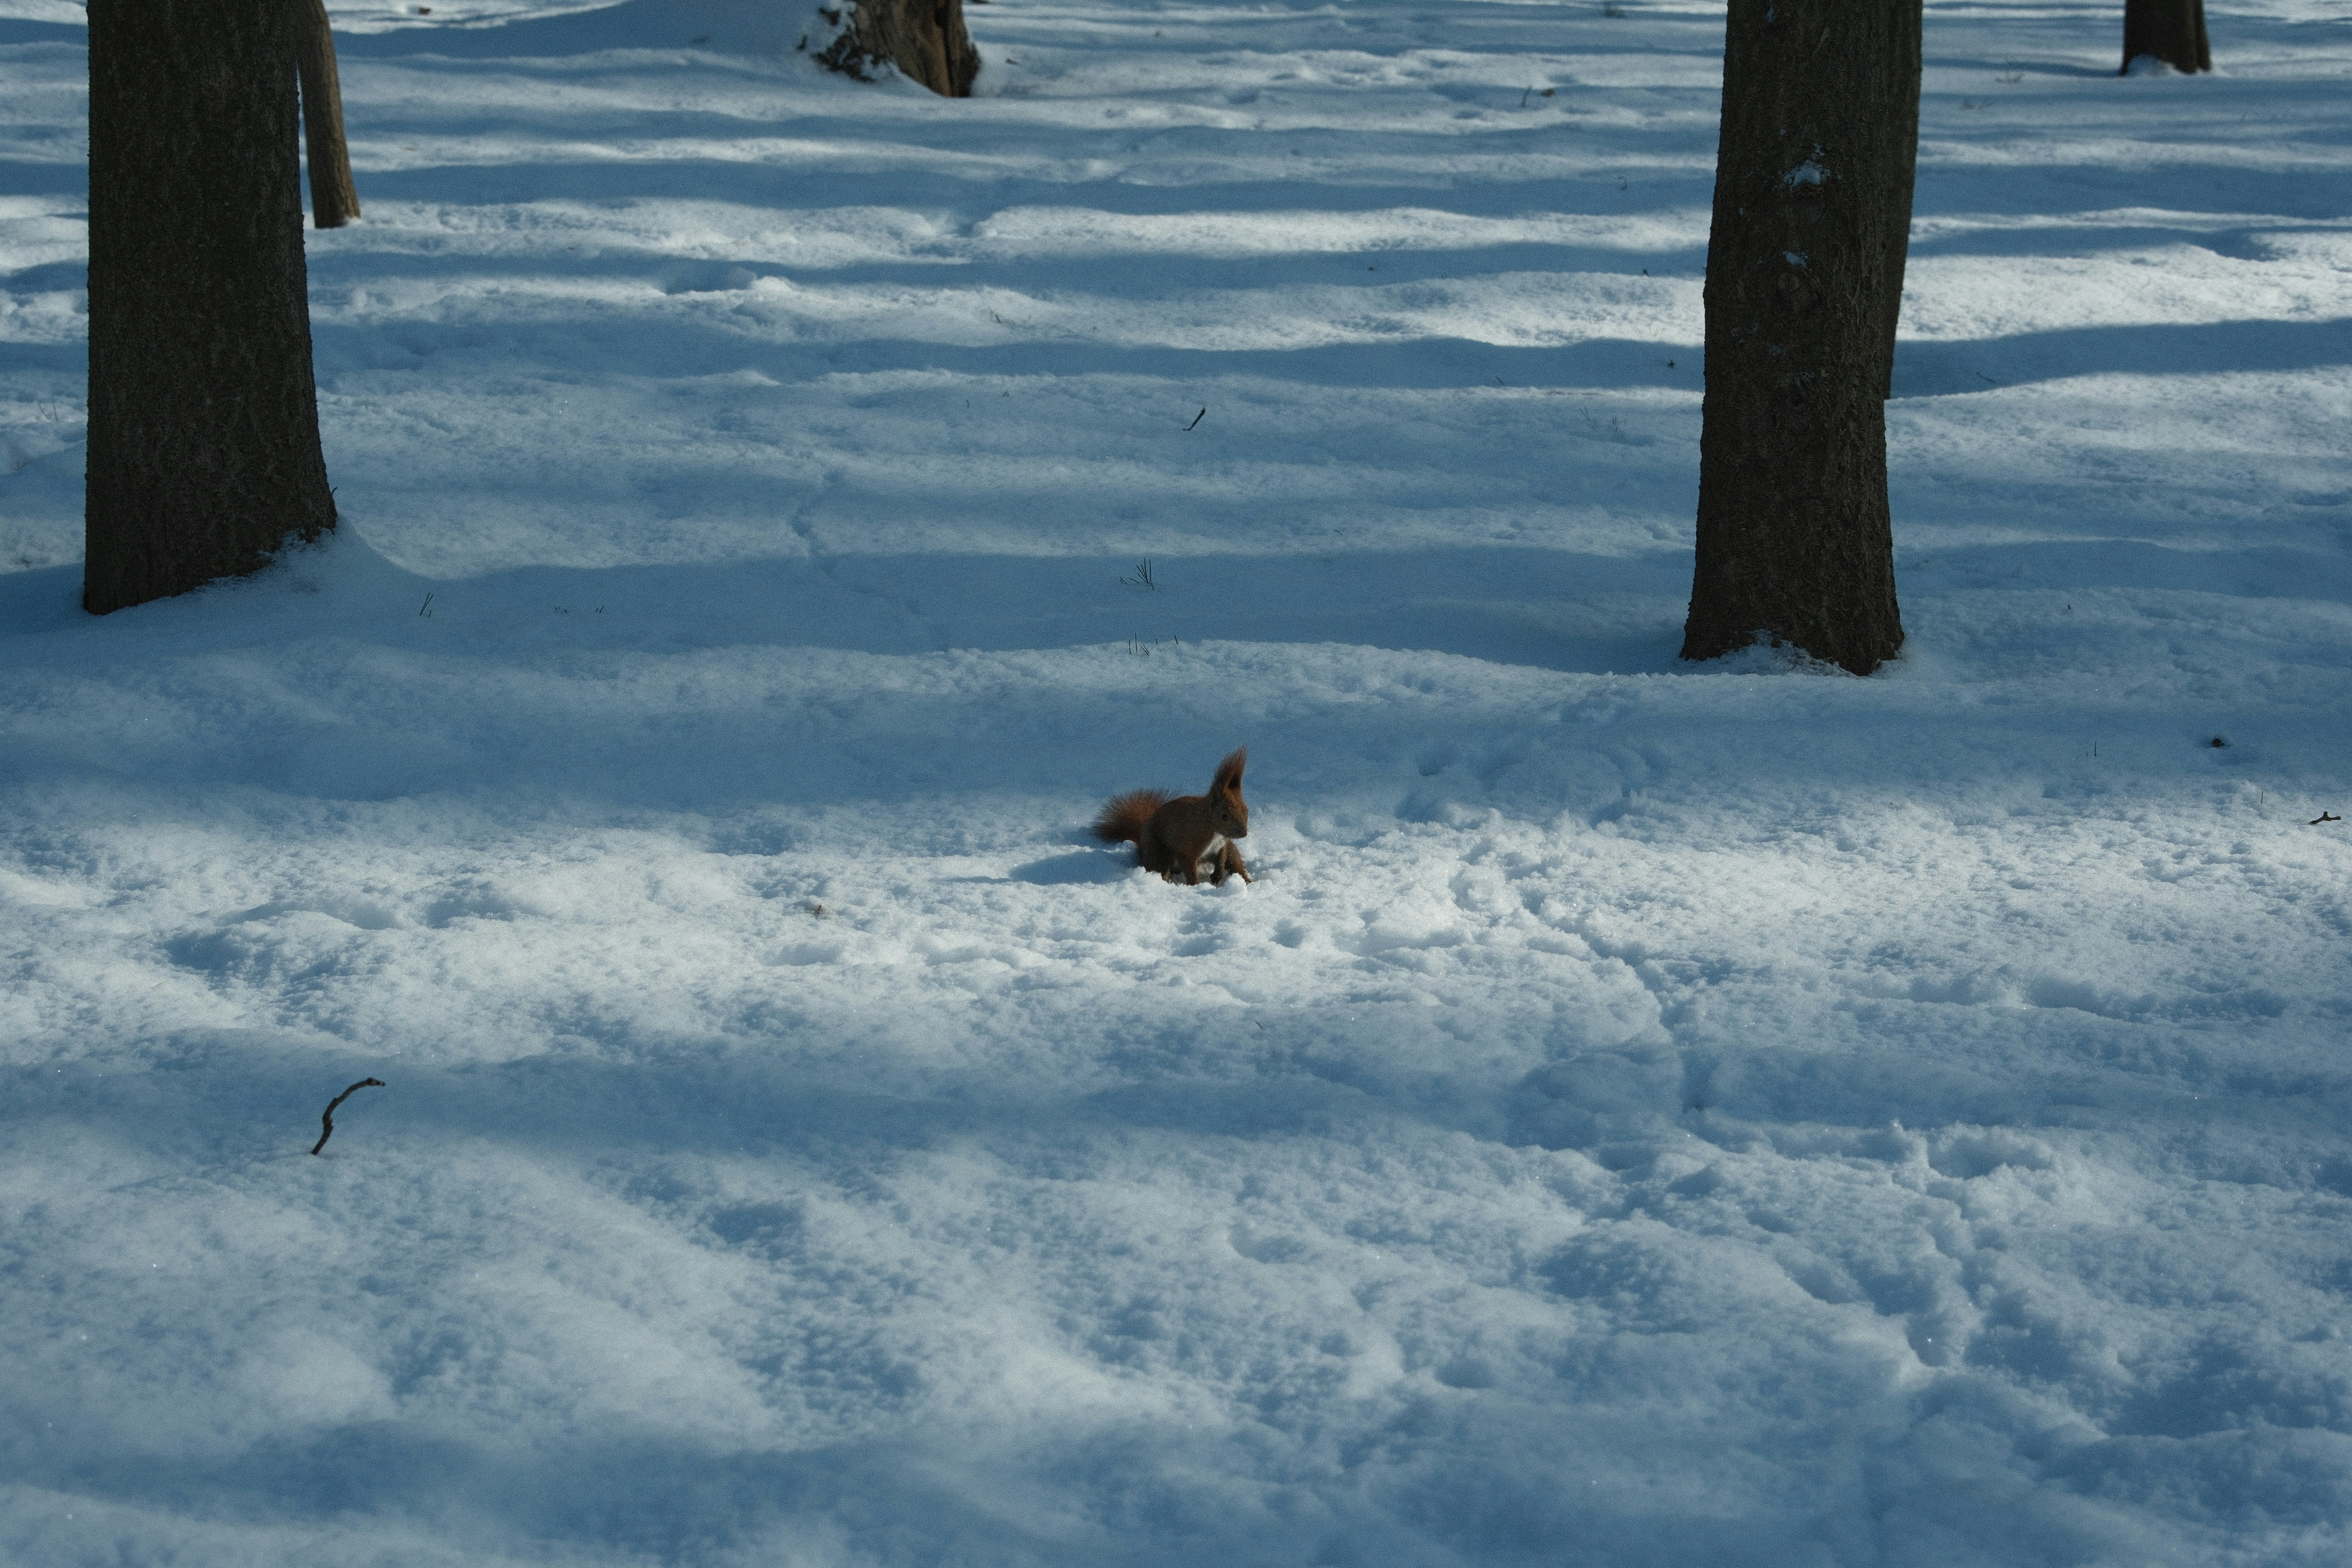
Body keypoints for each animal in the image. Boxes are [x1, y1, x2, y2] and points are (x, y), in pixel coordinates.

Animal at [1091, 747, 1252, 885]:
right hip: (1160, 854)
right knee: (1162, 870)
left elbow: (1221, 860)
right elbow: (1191, 869)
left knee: (1236, 864)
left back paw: (1248, 882)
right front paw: (1195, 886)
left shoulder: (1222, 846)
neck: (1211, 825)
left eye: (1247, 811)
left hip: (1231, 851)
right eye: (1224, 816)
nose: (1243, 834)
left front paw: (1217, 876)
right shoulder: (1188, 848)